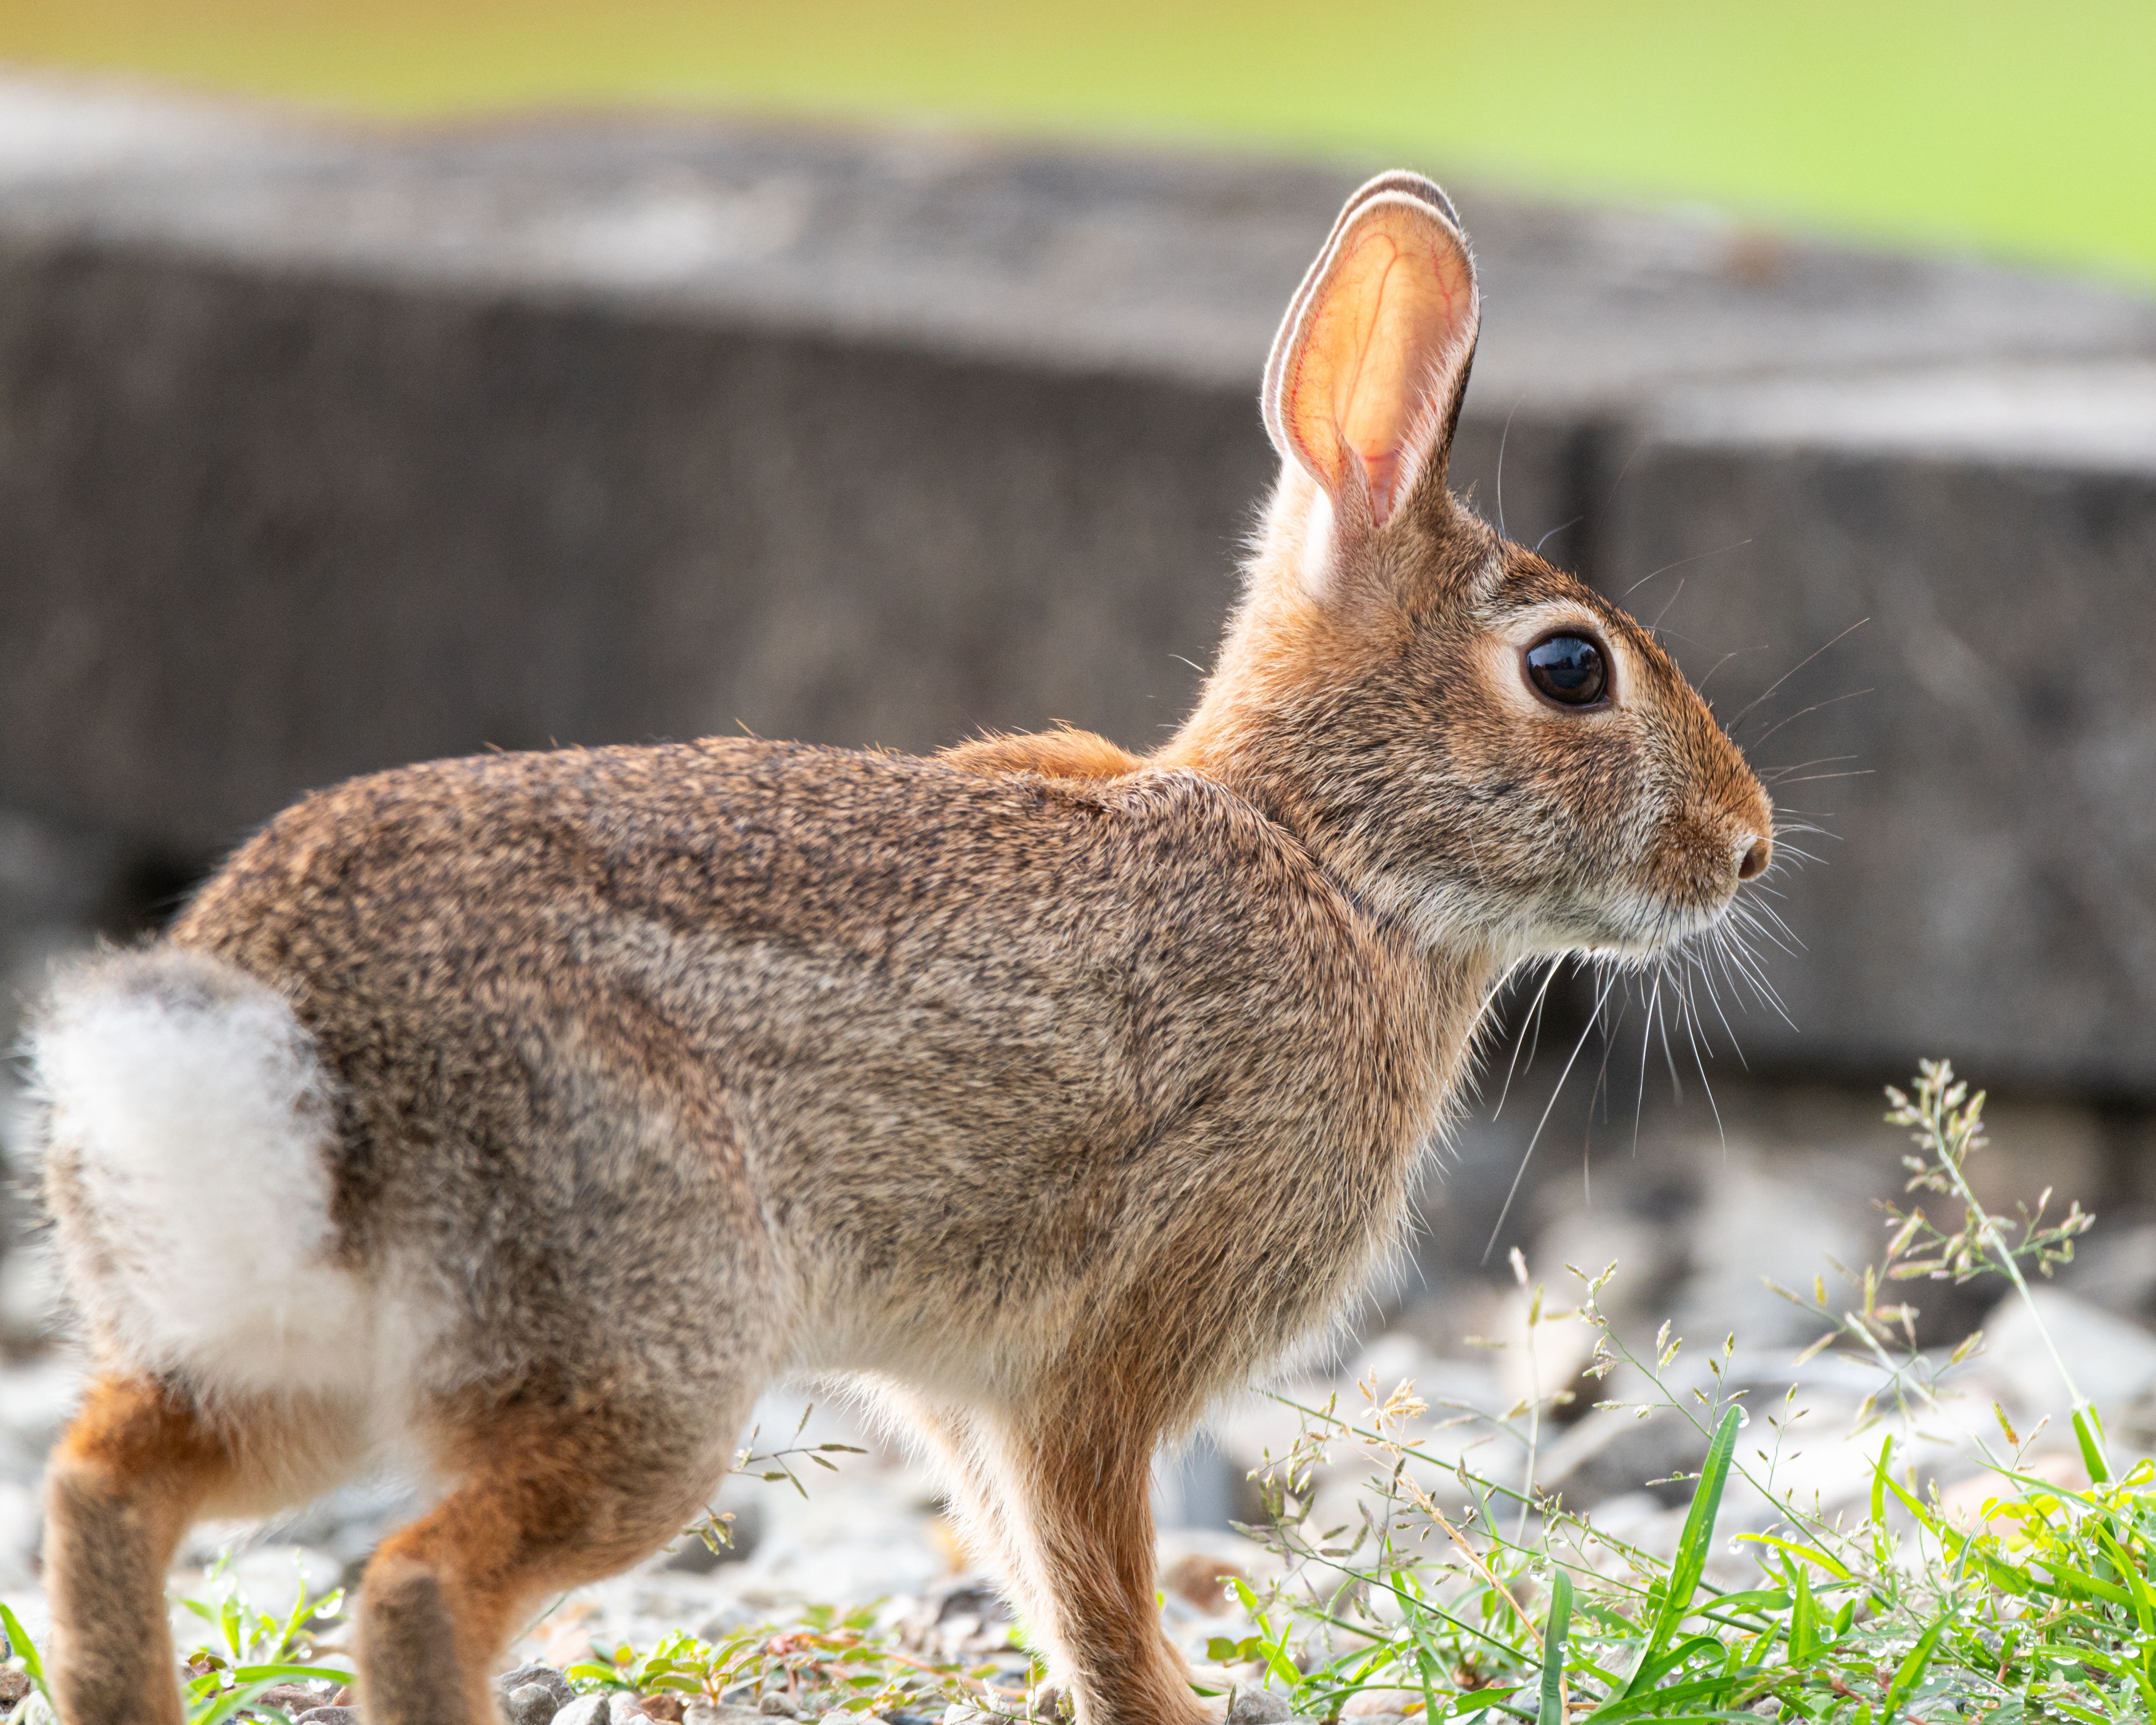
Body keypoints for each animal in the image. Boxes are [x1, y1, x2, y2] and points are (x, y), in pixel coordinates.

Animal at [29, 169, 1772, 1725]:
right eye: (1567, 668)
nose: (1746, 844)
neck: (1327, 853)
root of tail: (267, 1032)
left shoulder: (963, 1386)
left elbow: (1027, 1562)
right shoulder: (1103, 1359)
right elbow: (1094, 1570)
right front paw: (1171, 1706)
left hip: (280, 1359)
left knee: (103, 1483)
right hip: (635, 1346)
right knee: (413, 1585)